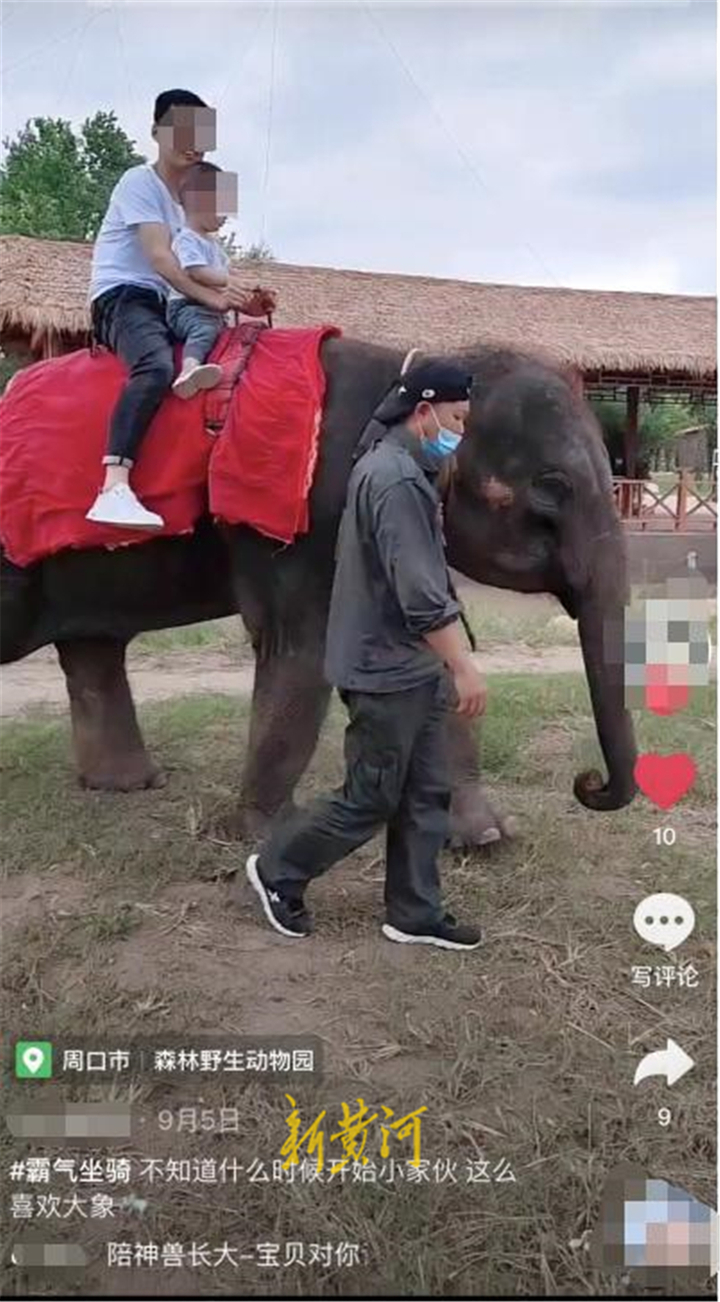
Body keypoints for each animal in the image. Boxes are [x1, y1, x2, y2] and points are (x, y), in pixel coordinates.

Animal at [0, 336, 637, 846]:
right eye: (551, 490)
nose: (588, 782)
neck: (400, 368)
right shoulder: (309, 515)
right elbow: (304, 650)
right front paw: (271, 835)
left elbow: (437, 640)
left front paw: (484, 838)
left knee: (92, 650)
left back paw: (128, 785)